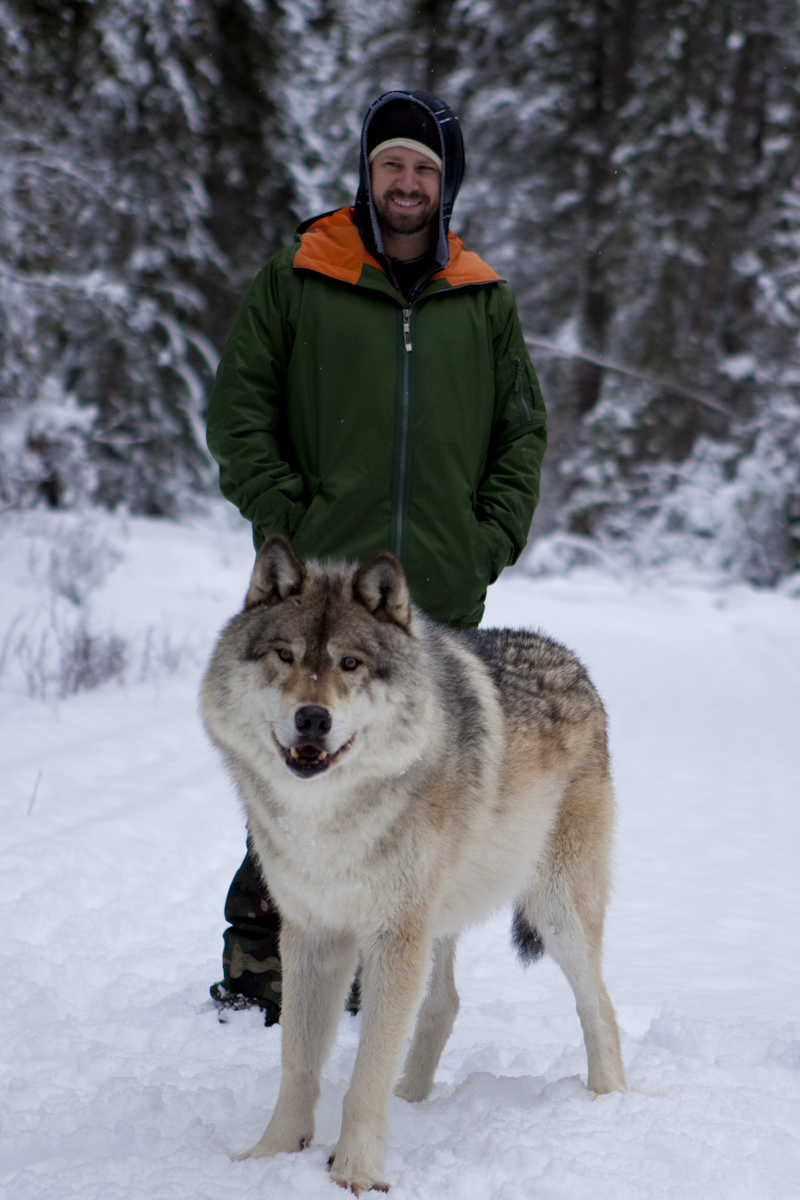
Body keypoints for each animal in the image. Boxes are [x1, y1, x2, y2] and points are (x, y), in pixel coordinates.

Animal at [201, 535, 626, 1194]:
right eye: (285, 655)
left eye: (350, 664)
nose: (313, 718)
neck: (327, 824)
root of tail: (568, 658)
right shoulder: (312, 935)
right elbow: (298, 1064)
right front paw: (271, 1156)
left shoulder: (392, 936)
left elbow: (364, 1075)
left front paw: (353, 1172)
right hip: (441, 918)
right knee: (445, 1003)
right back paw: (412, 1097)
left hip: (554, 913)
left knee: (598, 1005)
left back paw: (606, 1105)